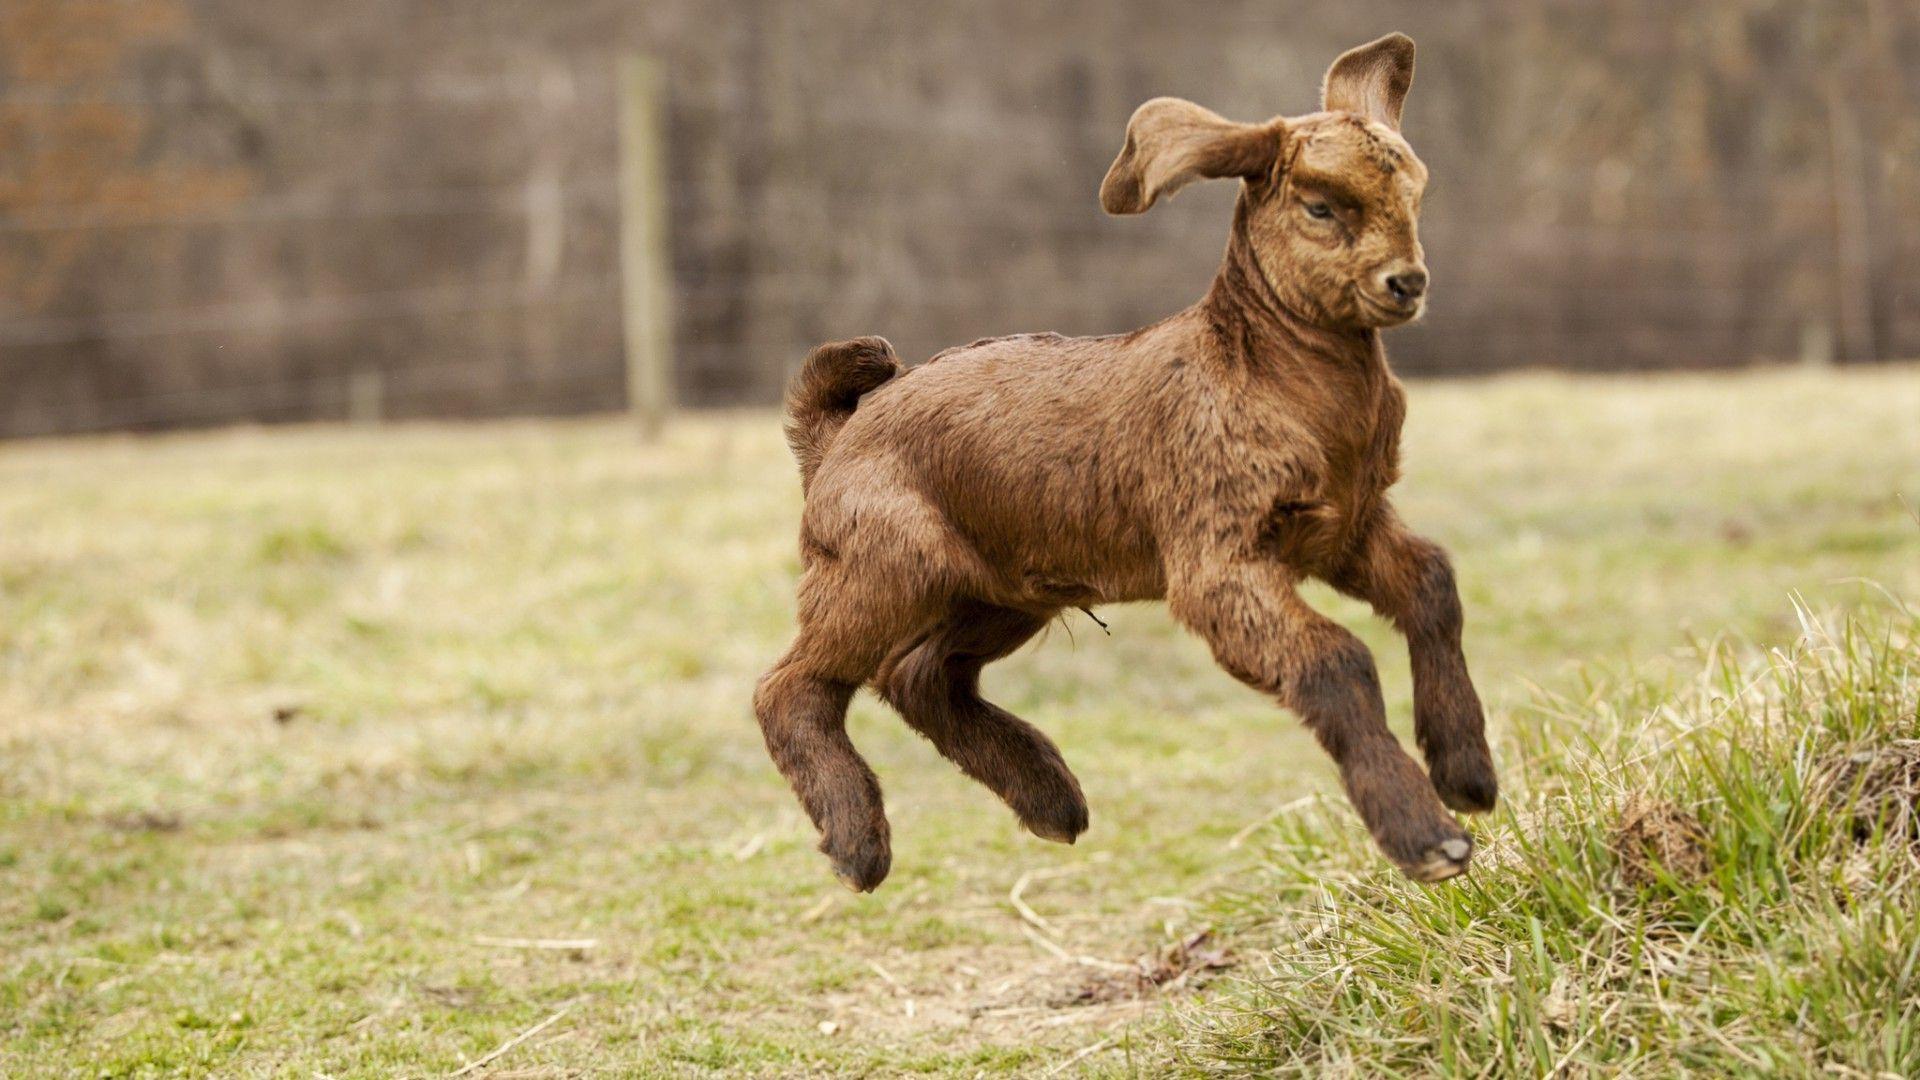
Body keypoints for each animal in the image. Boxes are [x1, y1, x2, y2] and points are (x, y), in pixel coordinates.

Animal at [754, 33, 1497, 892]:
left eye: (1415, 197)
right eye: (1320, 206)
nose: (1406, 282)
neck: (1265, 372)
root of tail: (832, 437)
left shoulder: (1345, 527)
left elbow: (1432, 583)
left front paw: (1469, 776)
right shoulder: (1217, 555)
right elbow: (1334, 660)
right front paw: (1430, 839)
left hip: (999, 586)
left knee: (920, 677)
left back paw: (1050, 800)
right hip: (883, 567)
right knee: (792, 686)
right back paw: (859, 844)